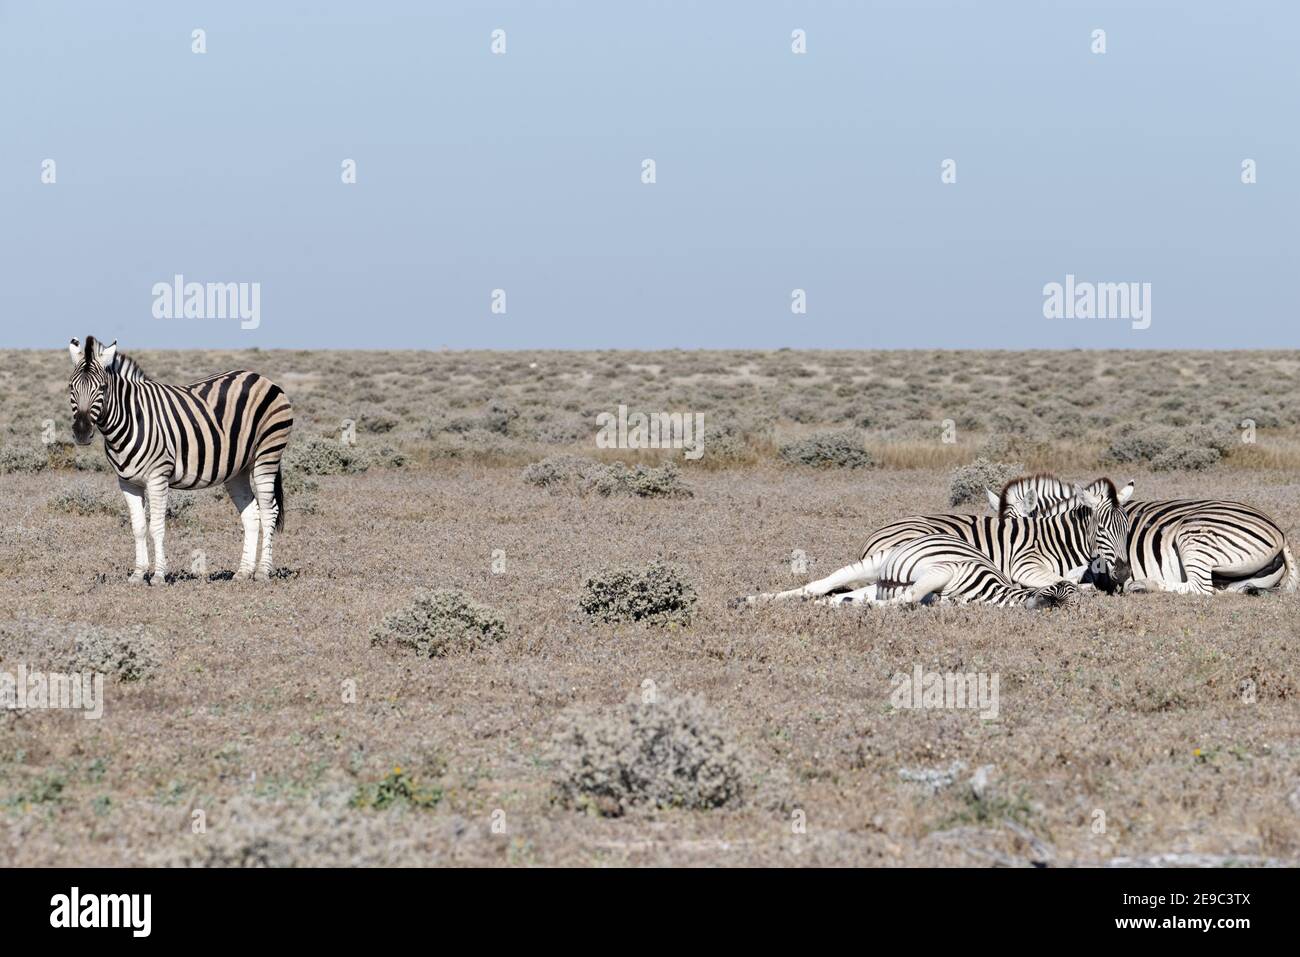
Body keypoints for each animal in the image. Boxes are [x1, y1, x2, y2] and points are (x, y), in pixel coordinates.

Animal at [67, 336, 294, 583]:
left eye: (102, 388)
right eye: (71, 387)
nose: (81, 432)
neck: (132, 419)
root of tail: (260, 377)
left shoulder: (158, 476)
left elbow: (156, 527)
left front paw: (158, 576)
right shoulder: (127, 483)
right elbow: (138, 527)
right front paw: (138, 574)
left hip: (267, 454)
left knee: (269, 511)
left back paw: (262, 572)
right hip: (238, 469)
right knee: (252, 514)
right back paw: (243, 572)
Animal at [823, 535, 1080, 609]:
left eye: (1066, 606)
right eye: (1056, 588)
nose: (1048, 604)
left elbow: (913, 597)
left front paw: (857, 604)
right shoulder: (946, 569)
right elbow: (910, 597)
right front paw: (871, 607)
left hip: (880, 583)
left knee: (843, 592)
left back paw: (830, 603)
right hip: (882, 559)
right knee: (833, 578)